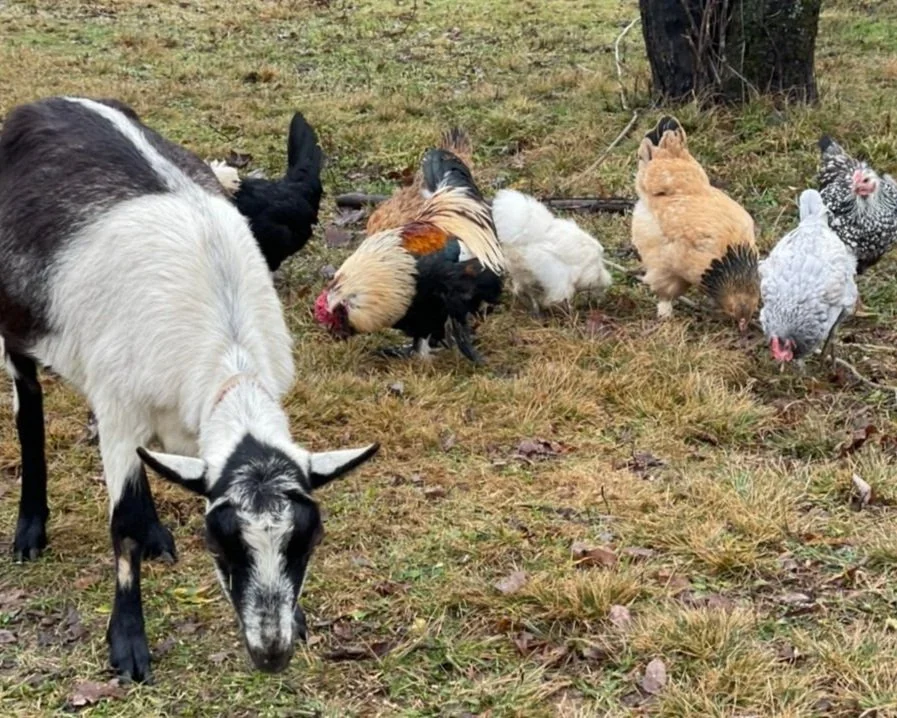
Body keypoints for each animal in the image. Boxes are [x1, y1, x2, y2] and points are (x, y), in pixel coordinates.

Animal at [0, 97, 379, 682]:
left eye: (307, 541)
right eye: (220, 543)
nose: (271, 654)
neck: (228, 363)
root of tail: (48, 104)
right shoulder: (118, 410)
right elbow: (124, 524)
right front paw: (128, 642)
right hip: (16, 322)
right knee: (29, 409)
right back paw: (30, 530)